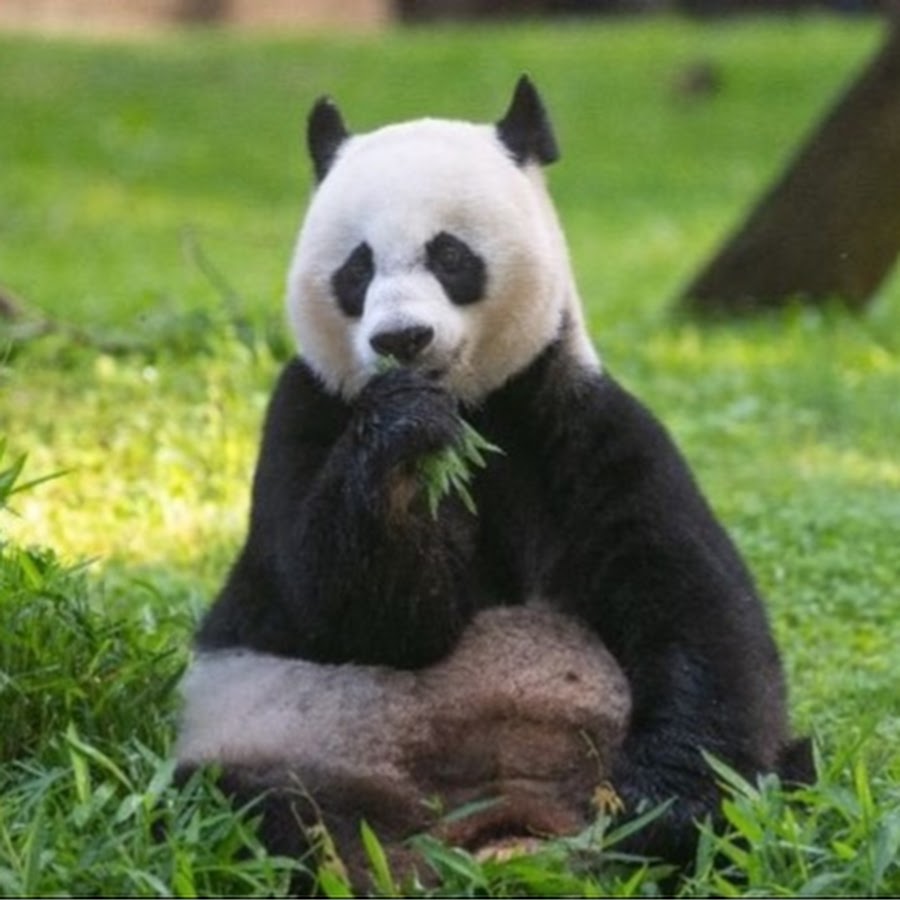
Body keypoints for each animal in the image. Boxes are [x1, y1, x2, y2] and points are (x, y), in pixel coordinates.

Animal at [178, 76, 811, 880]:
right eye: (357, 268)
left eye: (450, 255)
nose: (402, 339)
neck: (474, 405)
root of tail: (504, 825)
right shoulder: (305, 413)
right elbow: (356, 613)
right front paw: (407, 443)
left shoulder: (579, 422)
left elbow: (692, 607)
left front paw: (663, 809)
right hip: (288, 747)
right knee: (262, 816)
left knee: (787, 779)